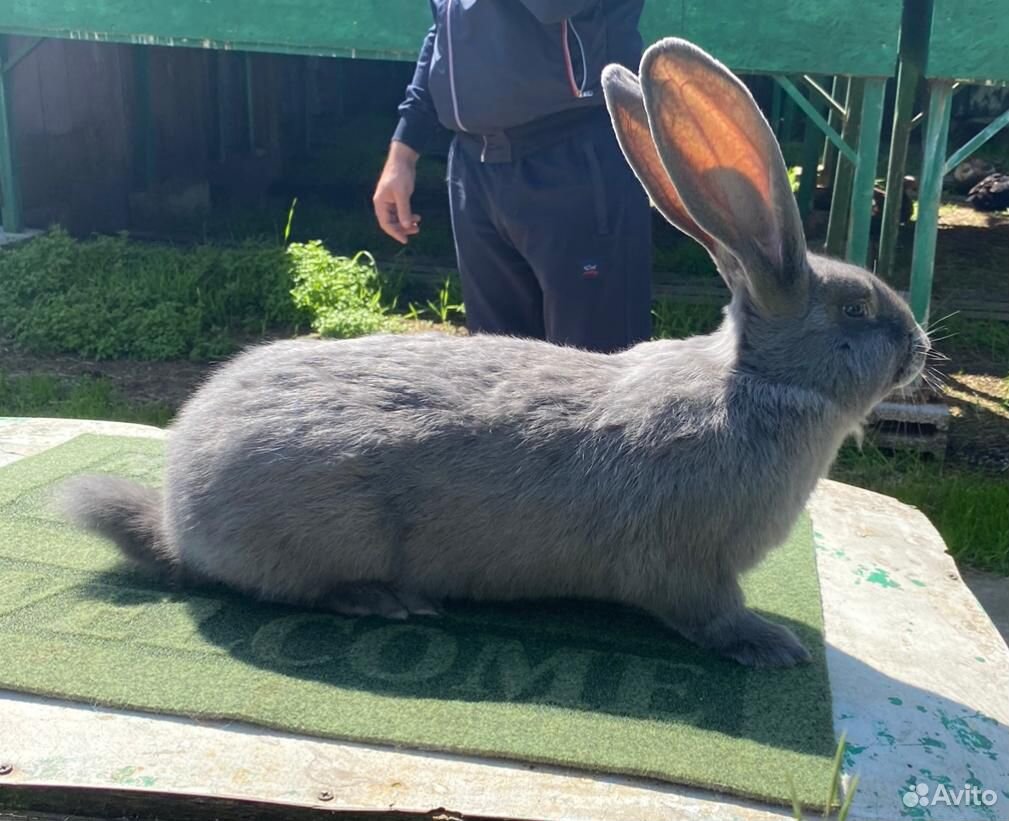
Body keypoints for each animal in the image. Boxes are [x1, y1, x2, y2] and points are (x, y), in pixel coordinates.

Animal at [57, 38, 929, 668]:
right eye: (856, 309)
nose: (918, 346)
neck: (752, 385)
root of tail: (178, 516)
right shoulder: (688, 568)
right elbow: (708, 614)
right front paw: (770, 646)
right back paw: (385, 600)